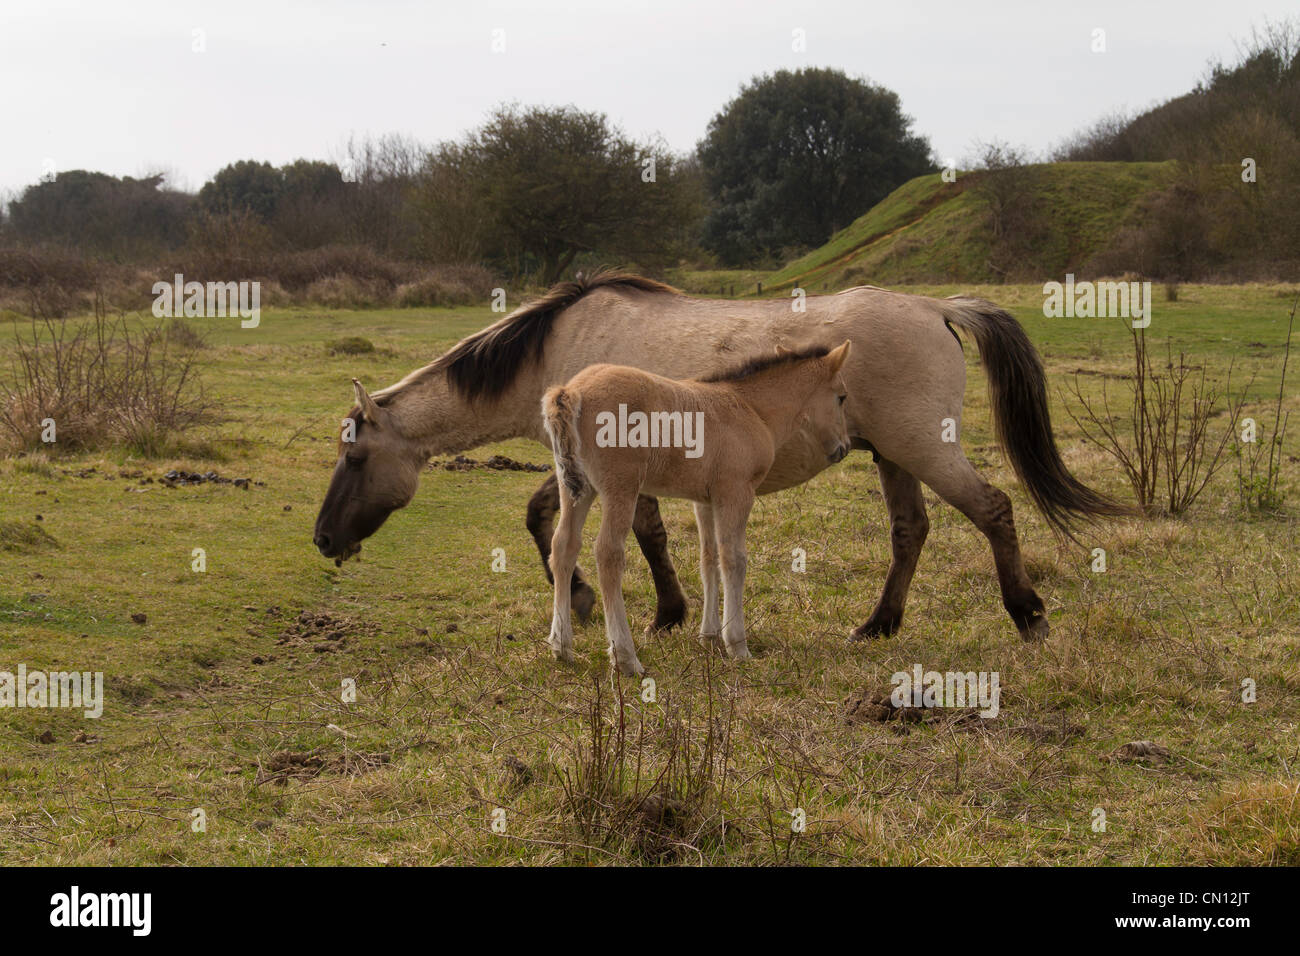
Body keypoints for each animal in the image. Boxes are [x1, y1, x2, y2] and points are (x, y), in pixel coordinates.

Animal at [313, 270, 1125, 641]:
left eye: (355, 459)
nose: (322, 538)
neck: (556, 350)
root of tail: (937, 307)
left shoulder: (618, 471)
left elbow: (641, 536)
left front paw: (661, 613)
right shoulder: (581, 471)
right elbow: (545, 518)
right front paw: (584, 596)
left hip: (925, 451)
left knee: (993, 510)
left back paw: (1026, 614)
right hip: (893, 457)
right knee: (911, 532)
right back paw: (878, 625)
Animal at [542, 342, 853, 675]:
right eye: (841, 397)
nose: (844, 447)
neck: (751, 409)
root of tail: (572, 390)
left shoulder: (705, 501)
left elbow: (709, 559)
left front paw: (710, 637)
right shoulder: (737, 492)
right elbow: (734, 560)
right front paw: (737, 644)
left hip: (577, 489)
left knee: (563, 546)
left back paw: (561, 647)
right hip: (621, 488)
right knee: (608, 554)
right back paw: (626, 657)